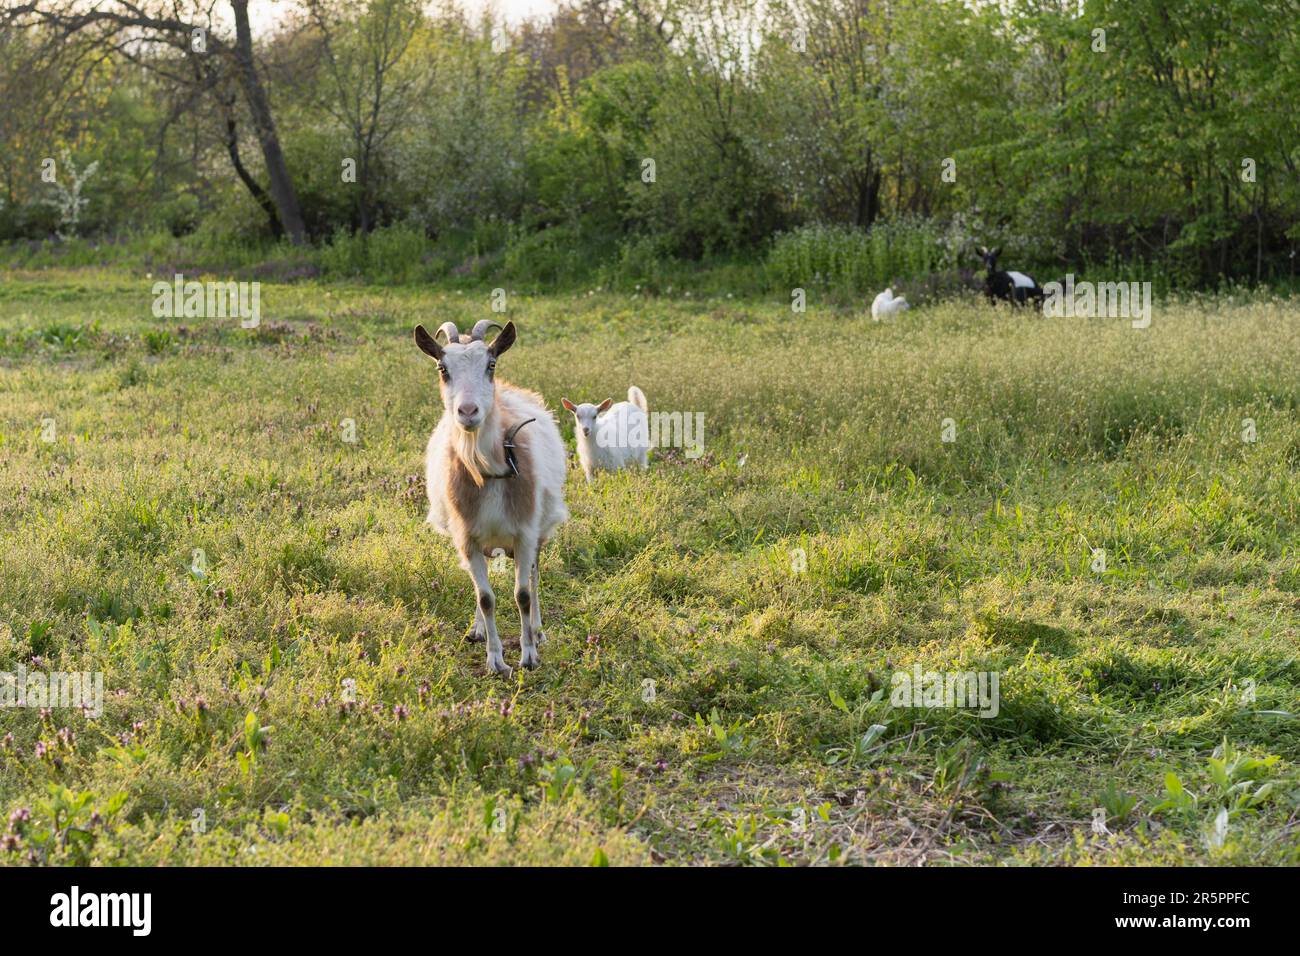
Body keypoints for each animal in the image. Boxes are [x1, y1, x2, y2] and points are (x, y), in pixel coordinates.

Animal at [414, 318, 568, 676]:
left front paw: (528, 655)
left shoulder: (525, 533)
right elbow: (485, 598)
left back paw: (537, 630)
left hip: (539, 531)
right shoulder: (466, 538)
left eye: (491, 364)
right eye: (443, 368)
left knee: (534, 576)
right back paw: (477, 629)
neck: (487, 469)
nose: (468, 411)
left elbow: (522, 593)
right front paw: (495, 660)